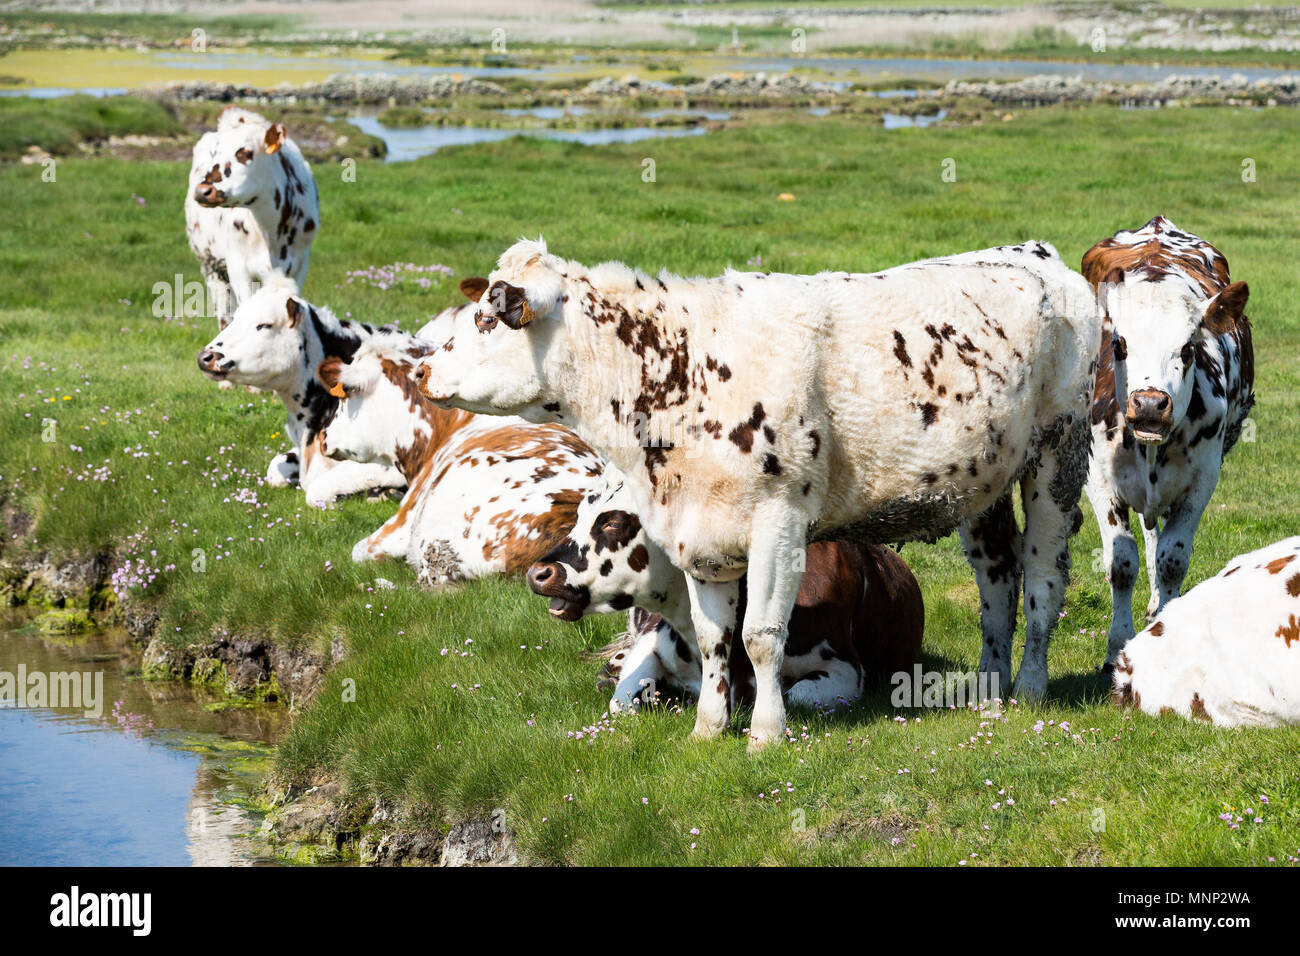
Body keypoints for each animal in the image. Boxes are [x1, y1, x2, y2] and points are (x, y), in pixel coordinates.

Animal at [186, 107, 319, 333]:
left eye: (245, 153)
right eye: (215, 153)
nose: (203, 191)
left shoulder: (299, 264)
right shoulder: (238, 267)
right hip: (212, 267)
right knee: (225, 316)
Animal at [196, 277, 405, 505]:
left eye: (265, 325)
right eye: (234, 320)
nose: (205, 357)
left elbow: (317, 491)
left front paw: (382, 492)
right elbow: (276, 470)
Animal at [526, 465, 924, 713]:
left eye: (614, 522)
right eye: (579, 515)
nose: (537, 572)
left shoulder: (845, 668)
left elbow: (795, 696)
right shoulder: (653, 640)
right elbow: (622, 700)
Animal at [1081, 217, 1254, 669]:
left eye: (1188, 348)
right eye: (1120, 344)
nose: (1149, 403)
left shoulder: (1202, 480)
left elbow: (1173, 560)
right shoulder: (1099, 479)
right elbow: (1121, 561)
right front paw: (1116, 646)